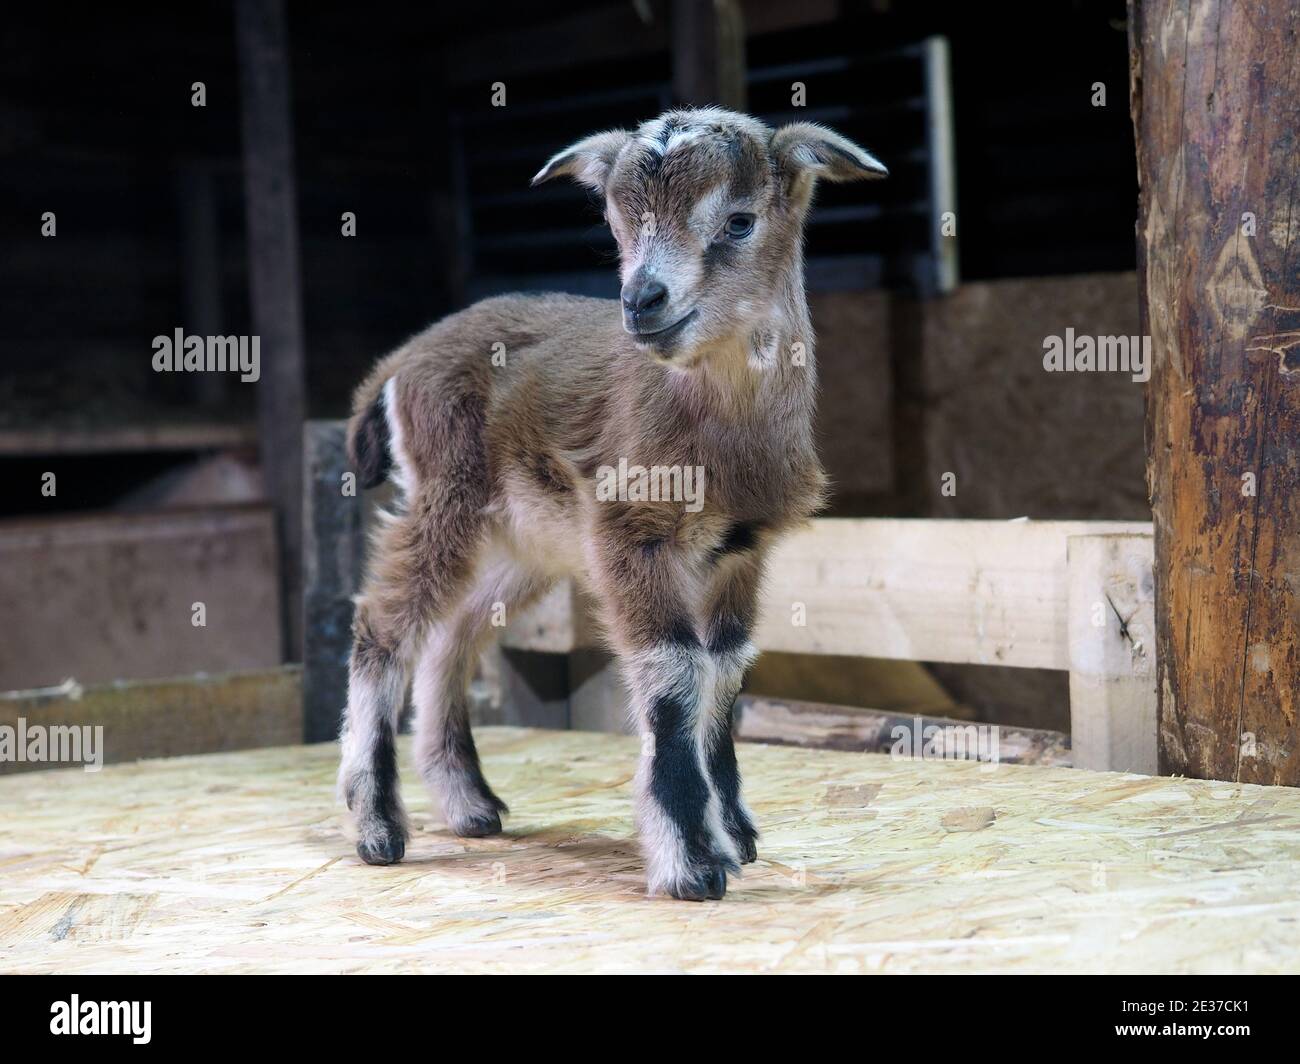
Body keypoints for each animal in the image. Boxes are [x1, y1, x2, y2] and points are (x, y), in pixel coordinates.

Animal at [338, 107, 887, 900]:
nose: (642, 301)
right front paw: (693, 862)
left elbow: (725, 668)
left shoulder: (740, 553)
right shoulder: (632, 535)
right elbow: (673, 672)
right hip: (445, 498)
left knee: (453, 636)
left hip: (525, 538)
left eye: (740, 221)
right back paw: (379, 827)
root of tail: (396, 364)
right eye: (617, 223)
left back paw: (471, 805)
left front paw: (736, 836)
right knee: (382, 626)